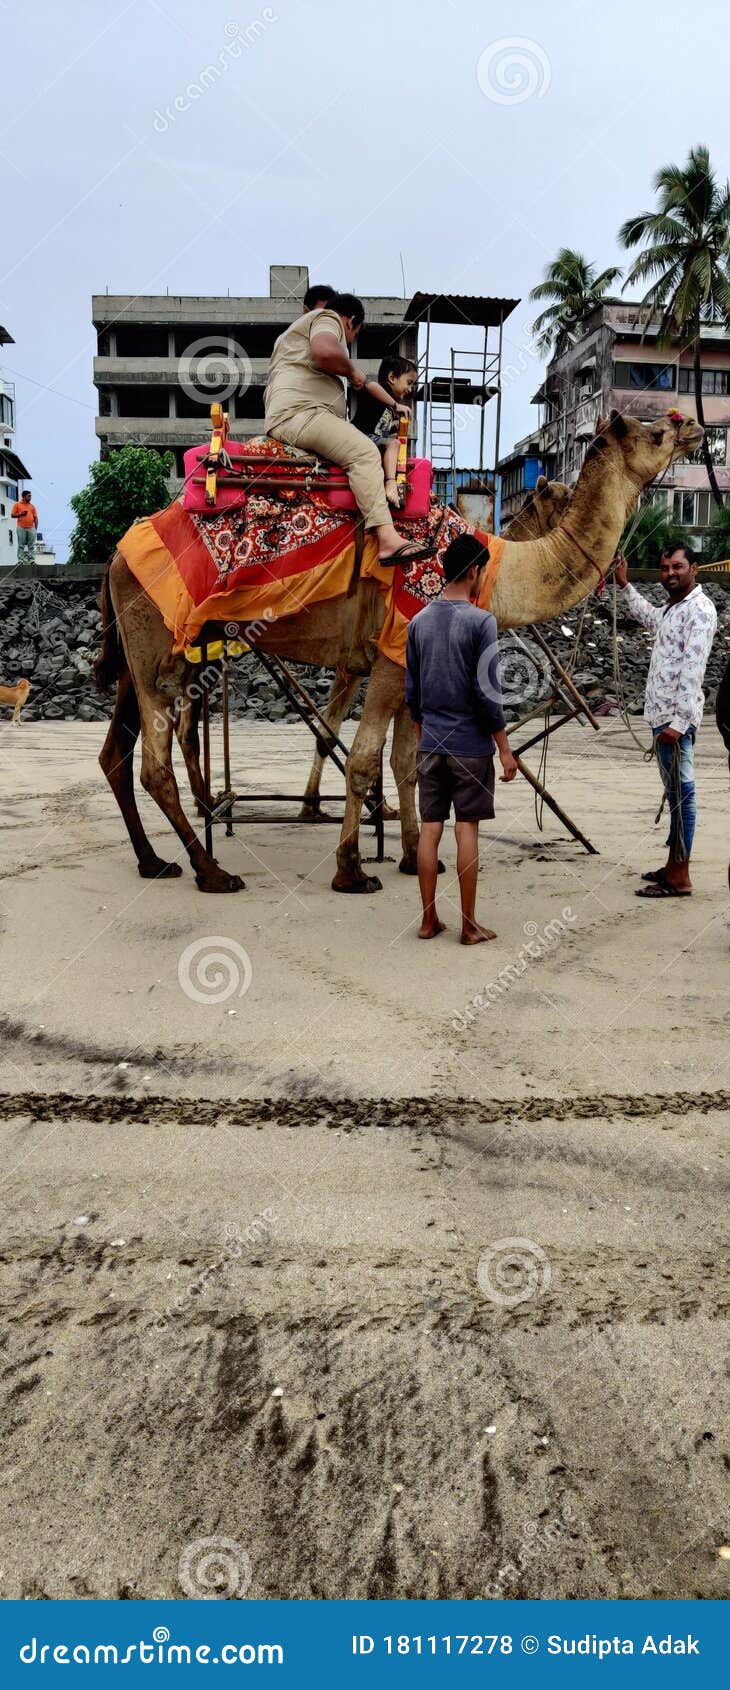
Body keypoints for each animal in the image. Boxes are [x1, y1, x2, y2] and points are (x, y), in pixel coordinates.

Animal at [96, 410, 701, 894]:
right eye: (653, 431)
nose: (693, 425)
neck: (493, 568)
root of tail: (117, 554)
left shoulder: (412, 663)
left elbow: (406, 763)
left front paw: (414, 856)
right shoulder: (392, 652)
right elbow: (365, 760)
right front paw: (351, 869)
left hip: (145, 653)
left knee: (117, 754)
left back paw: (156, 861)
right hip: (158, 647)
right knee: (155, 764)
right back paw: (212, 871)